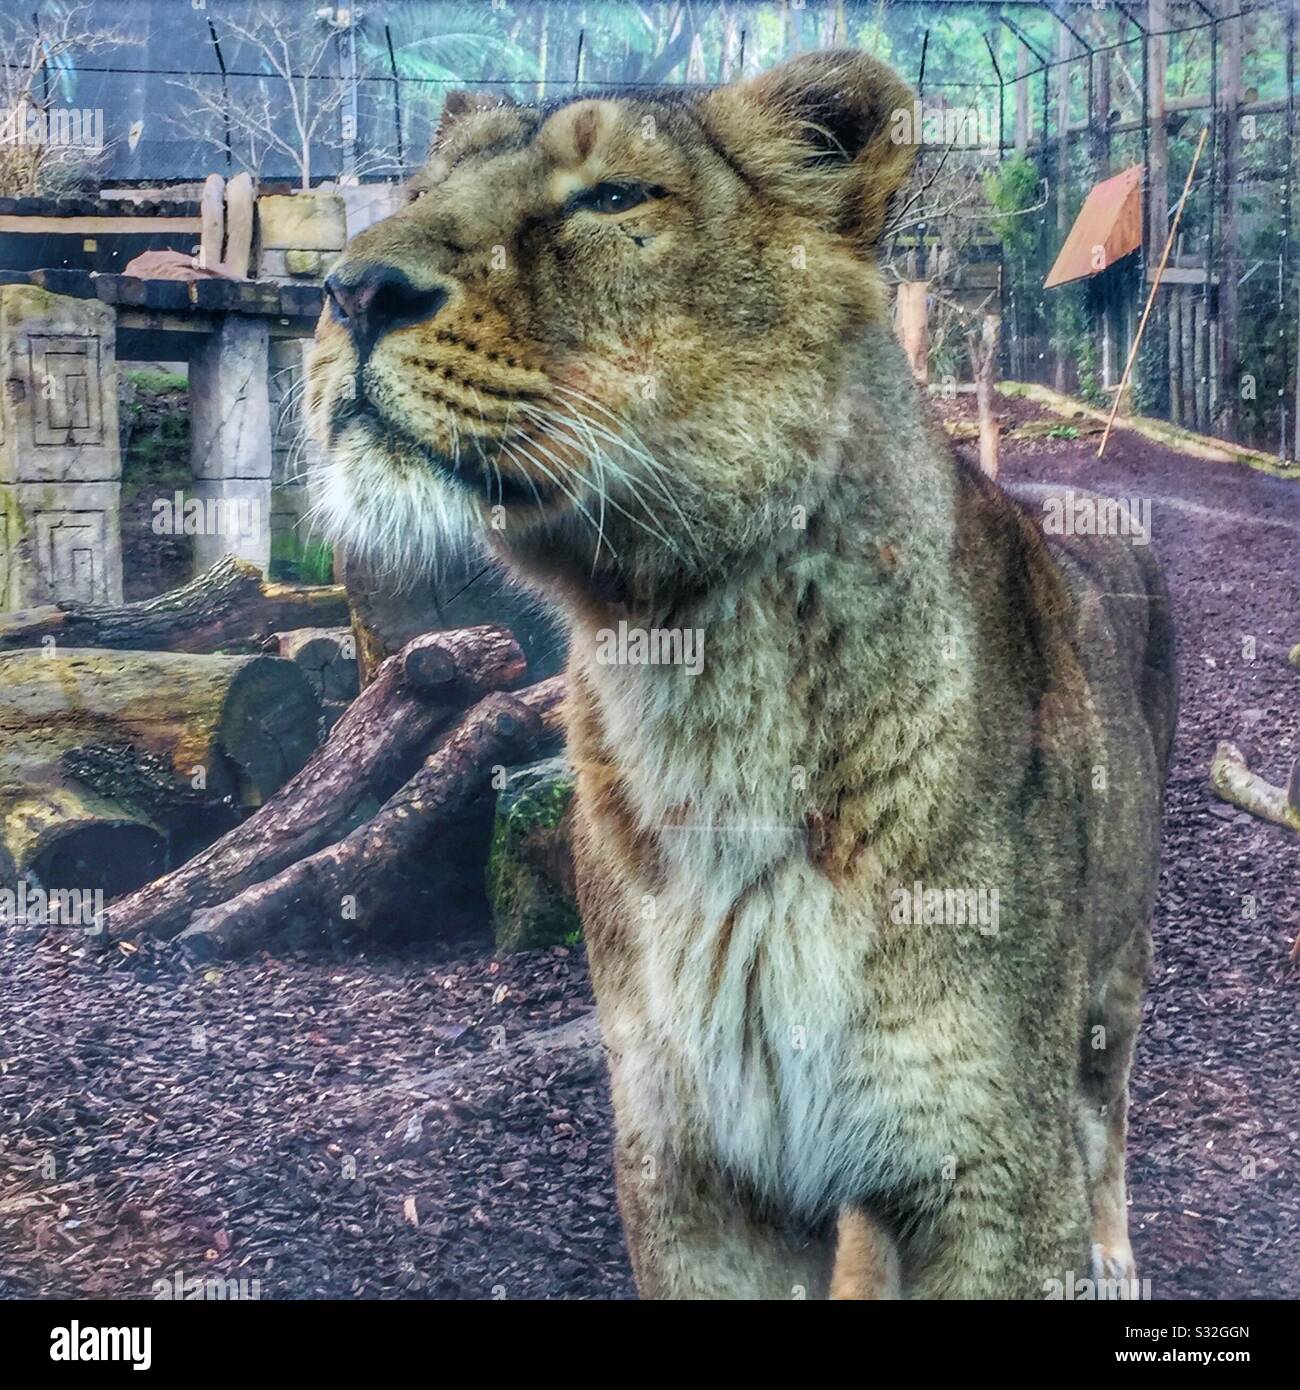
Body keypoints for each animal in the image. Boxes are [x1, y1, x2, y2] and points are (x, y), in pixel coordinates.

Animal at [306, 49, 1176, 1300]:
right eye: (419, 190)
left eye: (614, 197)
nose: (350, 290)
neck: (705, 685)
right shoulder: (692, 1167)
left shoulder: (992, 1169)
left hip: (1112, 971)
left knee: (1105, 1110)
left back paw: (1111, 1247)